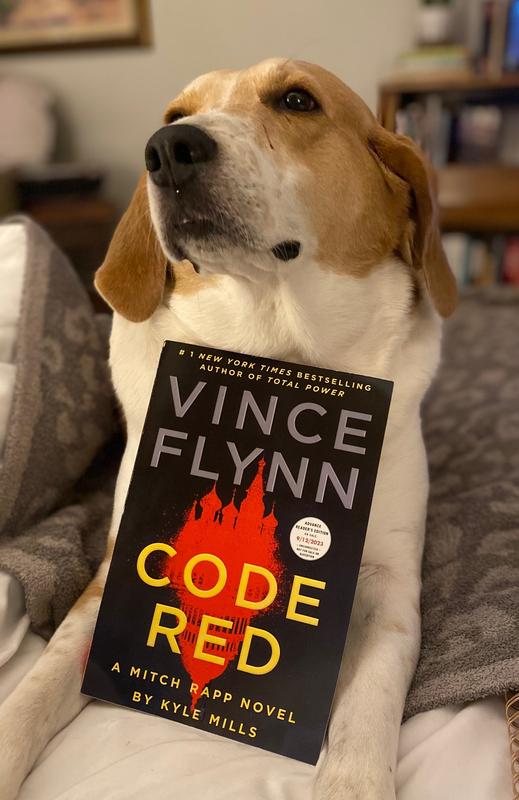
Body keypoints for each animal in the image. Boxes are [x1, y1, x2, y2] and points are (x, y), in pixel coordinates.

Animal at [0, 58, 456, 799]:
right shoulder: (115, 572)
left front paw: (351, 780)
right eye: (173, 114)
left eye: (297, 100)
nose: (167, 149)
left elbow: (366, 712)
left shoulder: (390, 586)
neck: (271, 360)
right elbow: (36, 689)